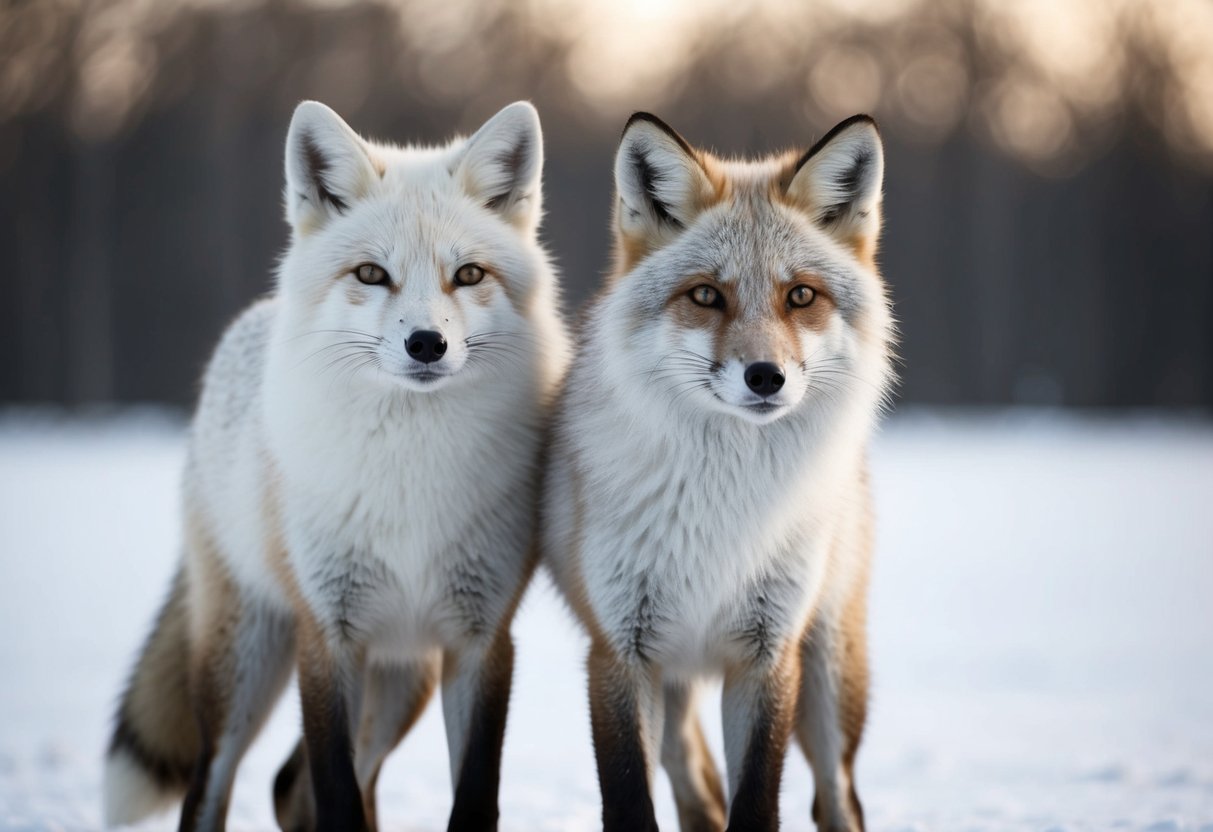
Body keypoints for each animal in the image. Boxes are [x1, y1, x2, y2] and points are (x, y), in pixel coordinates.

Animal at [103, 99, 569, 832]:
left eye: (467, 275)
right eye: (371, 274)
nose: (426, 344)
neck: (410, 478)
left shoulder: (482, 638)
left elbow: (471, 799)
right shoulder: (327, 637)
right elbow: (337, 797)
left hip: (403, 675)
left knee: (294, 787)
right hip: (246, 665)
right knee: (218, 788)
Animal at [541, 112, 895, 832]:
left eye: (800, 296)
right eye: (706, 295)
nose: (766, 376)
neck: (724, 508)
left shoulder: (766, 655)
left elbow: (755, 802)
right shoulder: (618, 652)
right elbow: (630, 802)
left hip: (828, 680)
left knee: (837, 798)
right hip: (673, 680)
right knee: (694, 781)